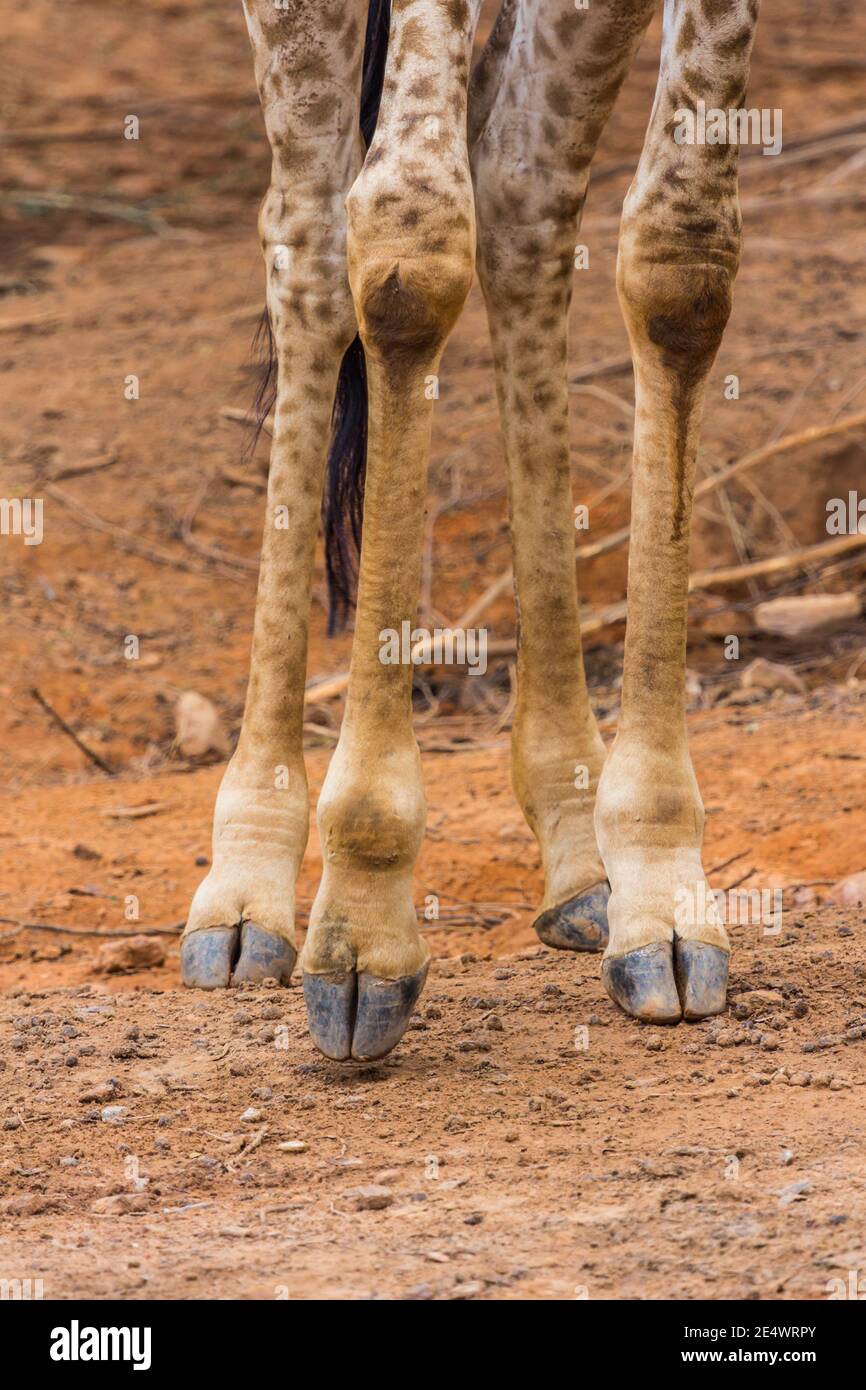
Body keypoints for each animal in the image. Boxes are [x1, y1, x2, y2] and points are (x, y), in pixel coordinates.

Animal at [181, 0, 759, 1057]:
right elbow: (407, 244)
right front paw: (361, 924)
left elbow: (683, 261)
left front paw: (662, 893)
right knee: (312, 235)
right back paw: (245, 892)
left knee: (522, 186)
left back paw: (583, 857)